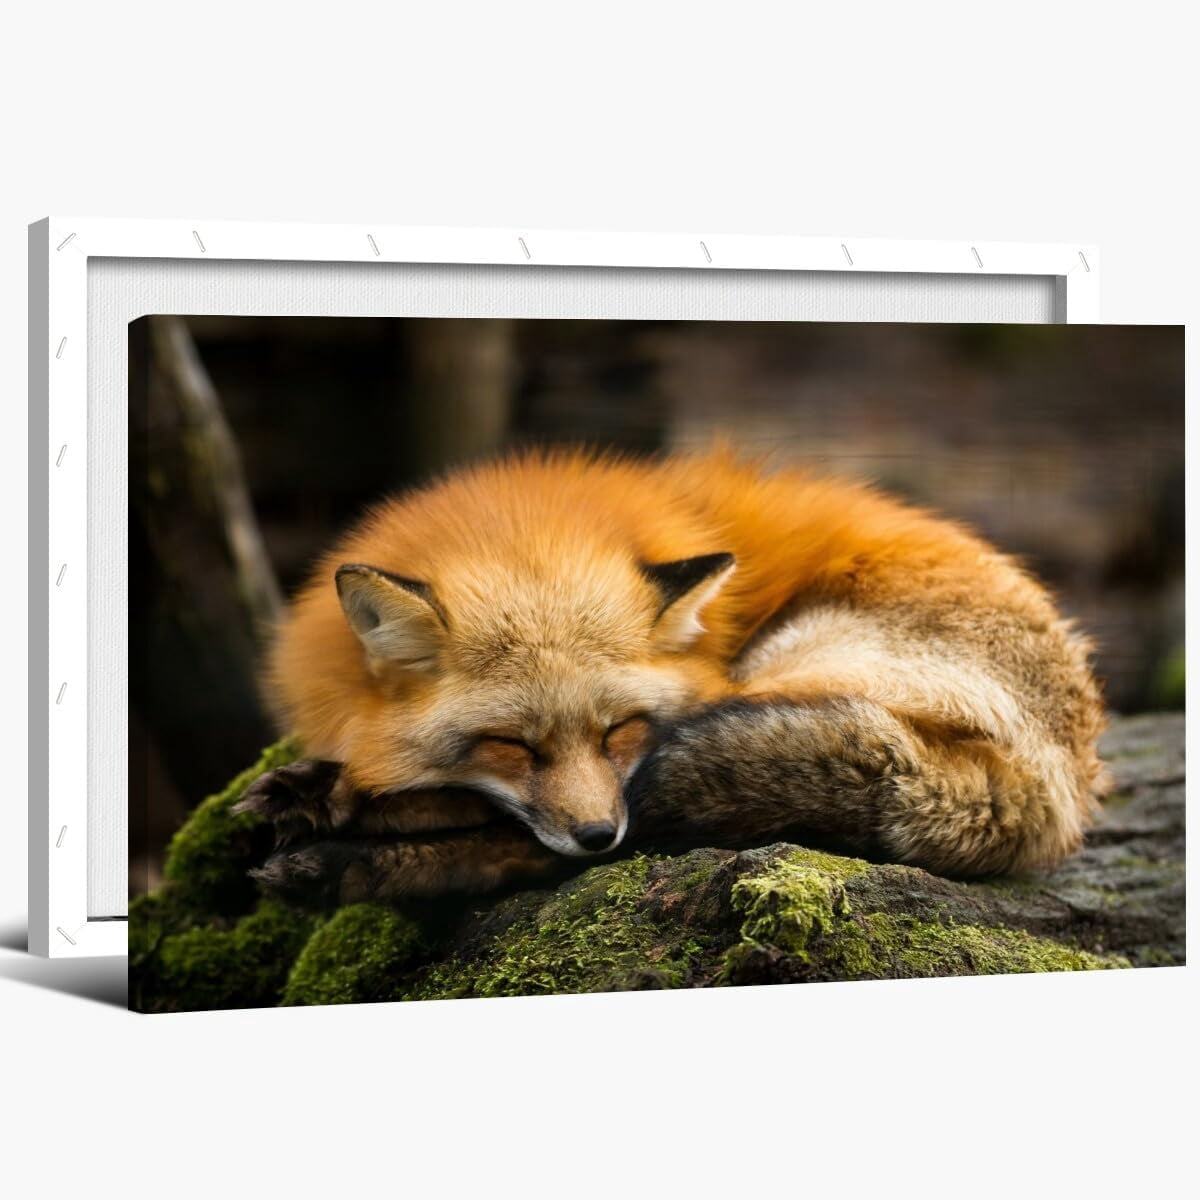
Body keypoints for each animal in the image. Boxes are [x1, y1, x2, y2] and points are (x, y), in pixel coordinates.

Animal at [237, 446, 1109, 904]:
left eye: (620, 730)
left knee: (558, 849)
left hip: (783, 673)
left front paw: (341, 804)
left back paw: (343, 850)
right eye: (511, 746)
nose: (597, 832)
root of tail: (1065, 783)